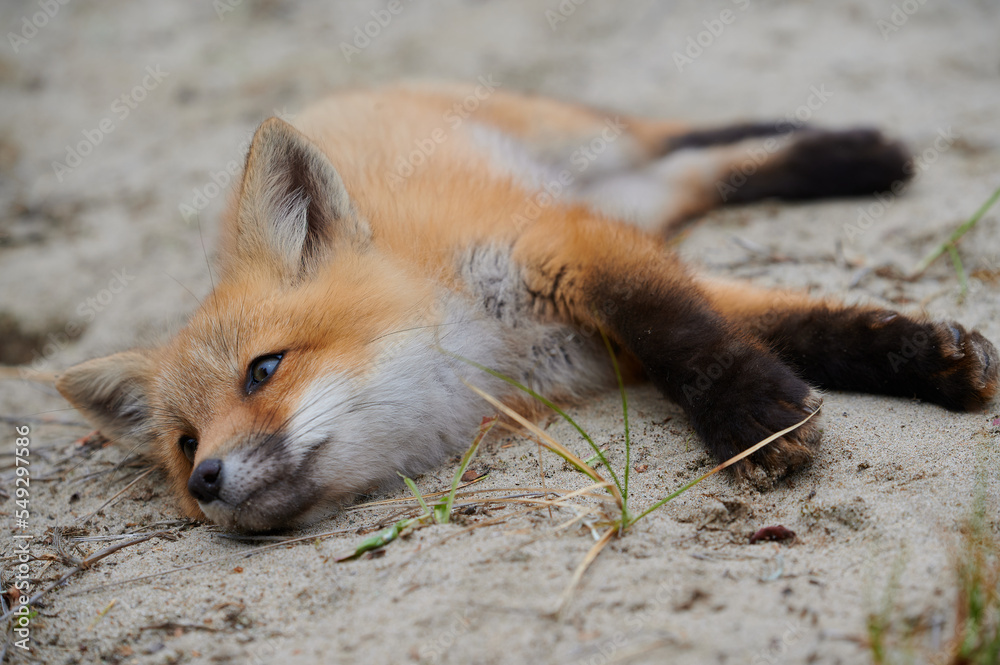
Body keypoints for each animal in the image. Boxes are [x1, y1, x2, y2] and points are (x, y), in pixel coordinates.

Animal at [56, 82, 998, 532]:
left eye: (263, 369)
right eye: (185, 445)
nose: (207, 480)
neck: (496, 341)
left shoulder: (560, 246)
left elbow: (688, 332)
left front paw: (752, 417)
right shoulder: (598, 298)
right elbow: (786, 323)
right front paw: (923, 355)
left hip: (586, 148)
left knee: (687, 134)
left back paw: (850, 148)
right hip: (628, 196)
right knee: (701, 172)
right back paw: (836, 156)